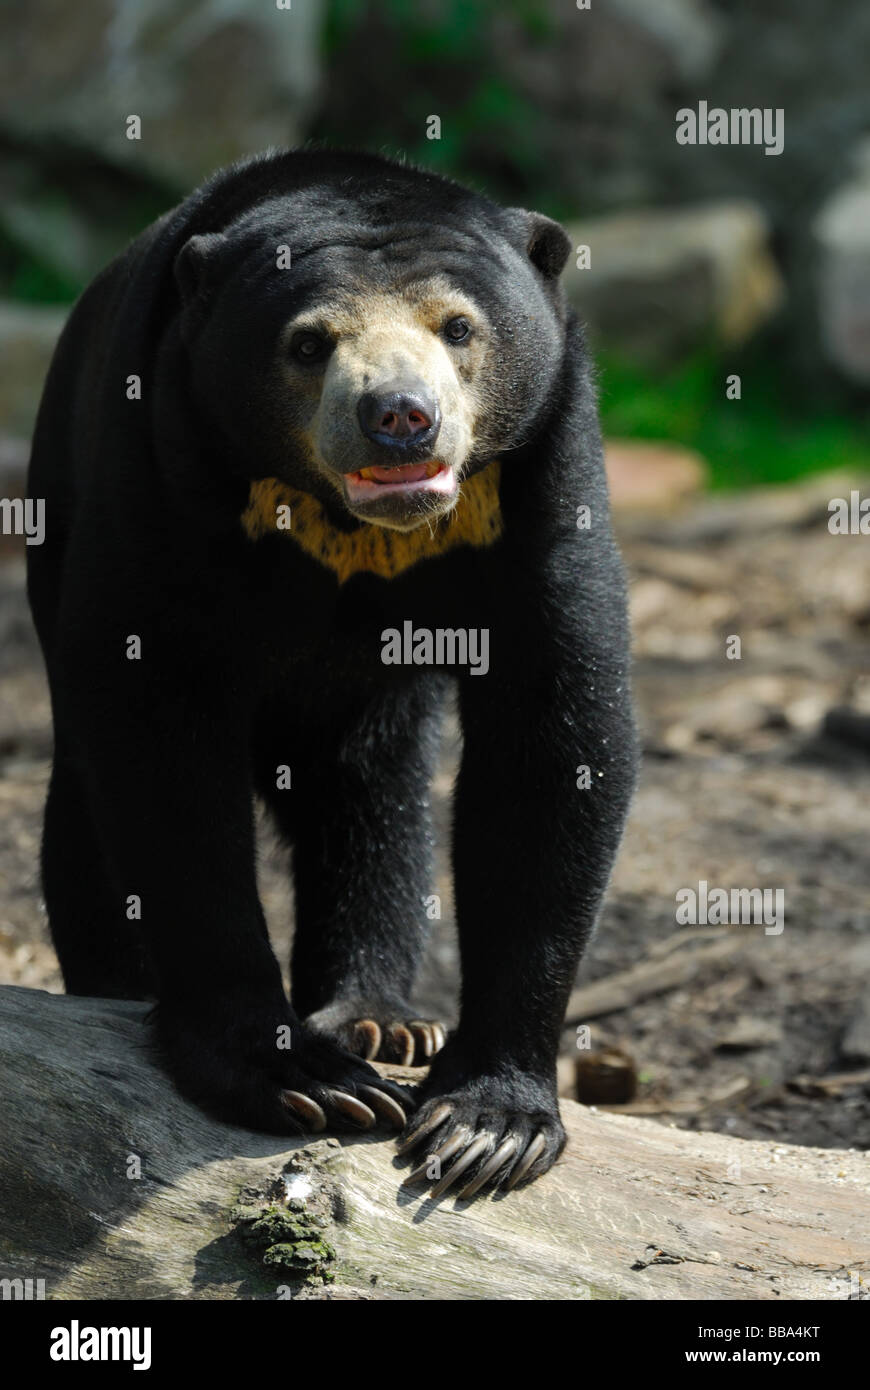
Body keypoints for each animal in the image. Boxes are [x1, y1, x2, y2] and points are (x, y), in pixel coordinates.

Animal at [26, 149, 637, 1199]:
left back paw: (380, 1017)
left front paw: (486, 1127)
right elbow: (154, 729)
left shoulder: (544, 475)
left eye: (459, 327)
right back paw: (121, 985)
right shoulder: (156, 457)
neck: (349, 527)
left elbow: (554, 732)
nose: (400, 419)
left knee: (369, 789)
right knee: (84, 804)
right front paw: (297, 1079)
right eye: (309, 344)